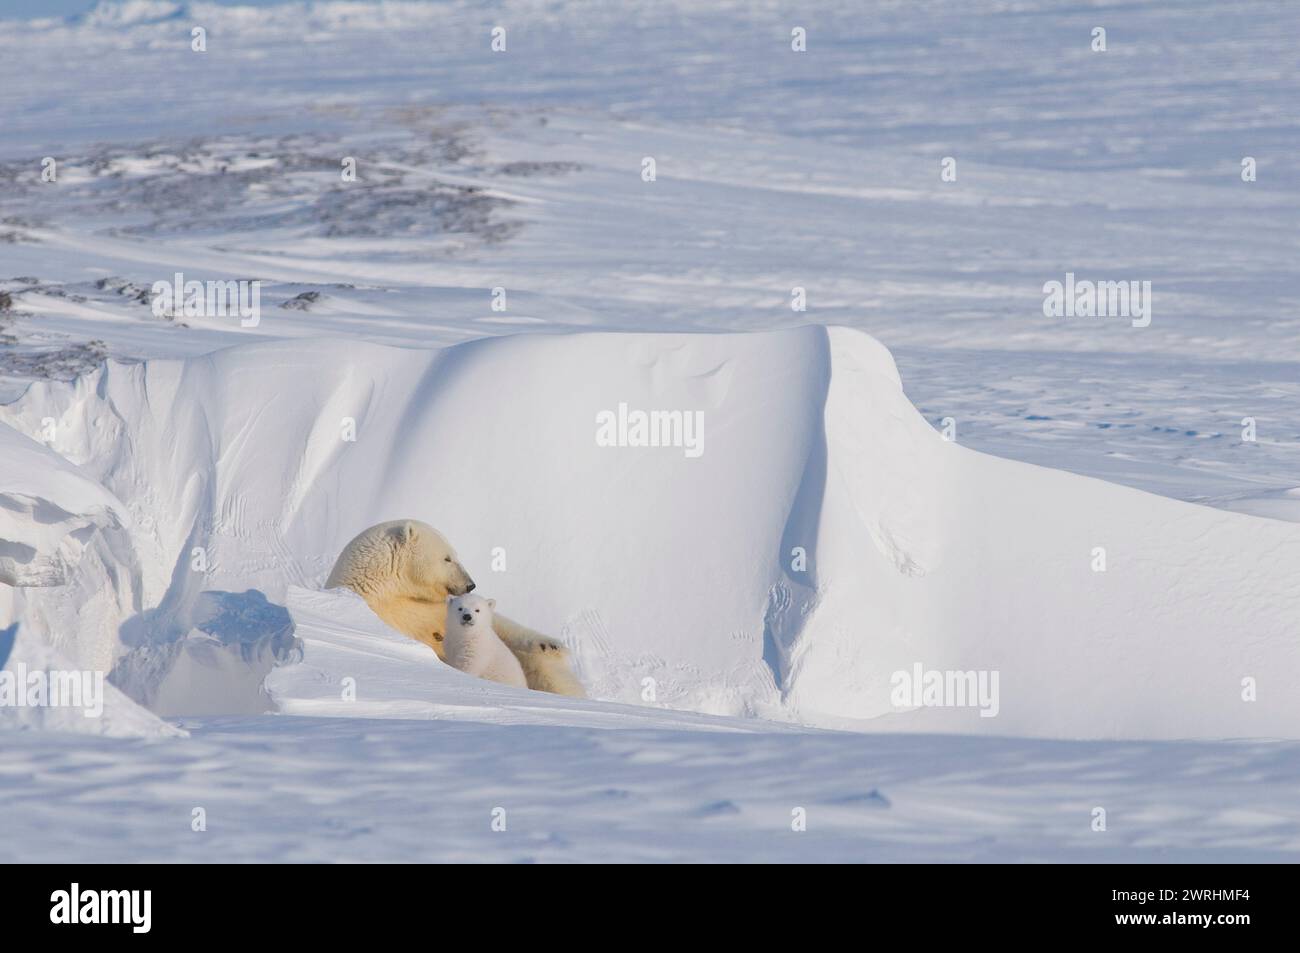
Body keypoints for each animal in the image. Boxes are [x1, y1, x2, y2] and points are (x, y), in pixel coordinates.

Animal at [325, 520, 585, 697]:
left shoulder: (433, 606)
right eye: (447, 558)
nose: (470, 584)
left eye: (454, 554)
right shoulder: (385, 615)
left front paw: (549, 644)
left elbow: (497, 625)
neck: (389, 592)